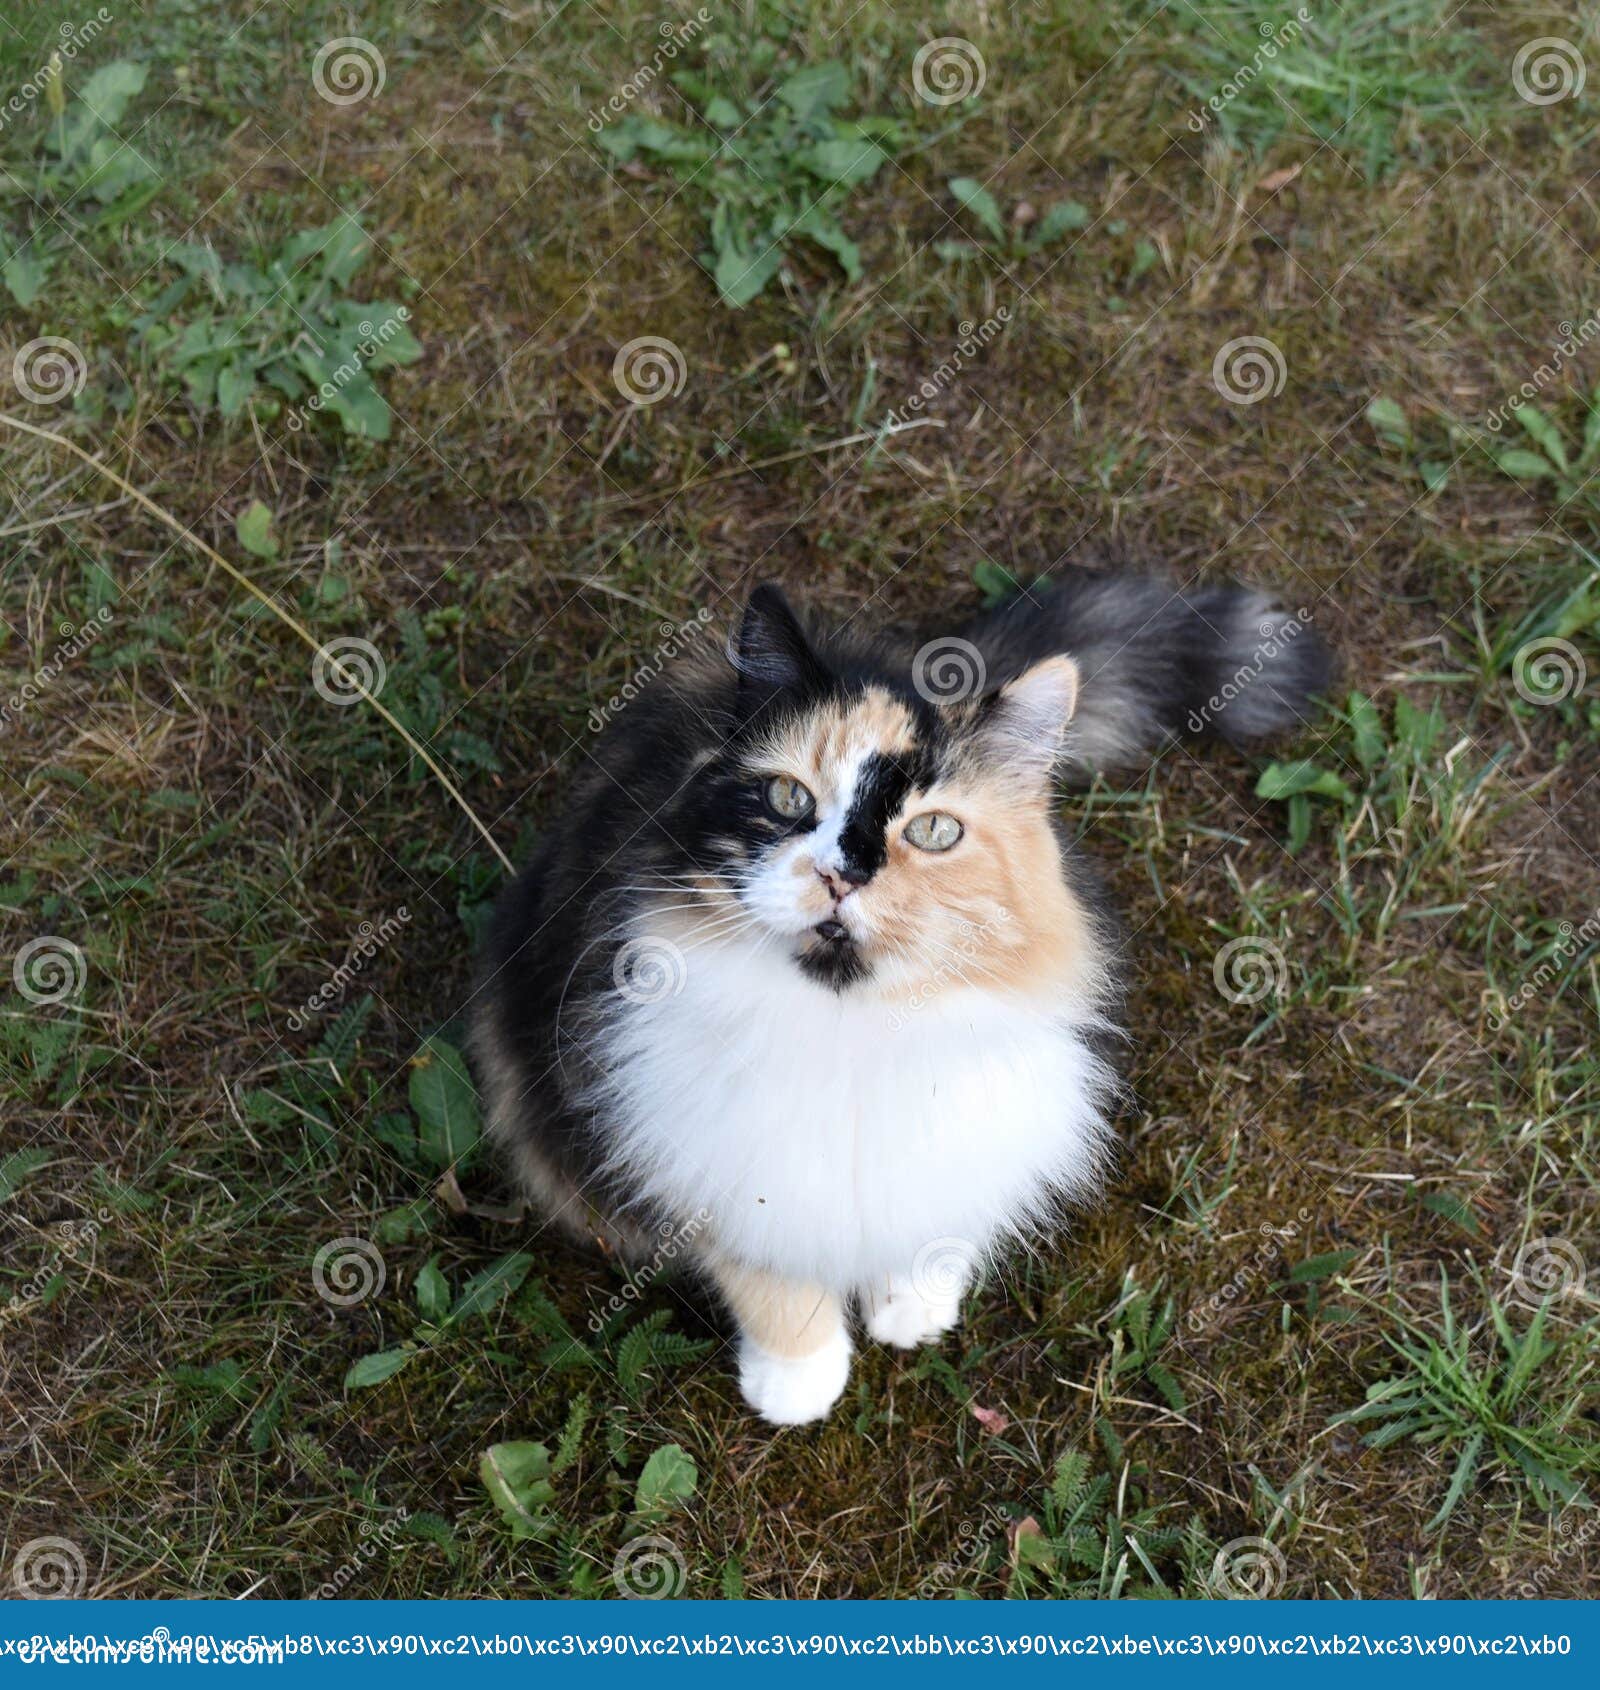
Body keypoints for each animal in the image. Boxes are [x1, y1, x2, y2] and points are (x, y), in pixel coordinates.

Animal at [473, 571, 1324, 1426]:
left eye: (935, 832)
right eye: (788, 798)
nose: (842, 873)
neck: (853, 1027)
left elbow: (935, 1212)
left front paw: (912, 1308)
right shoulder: (699, 1153)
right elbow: (770, 1275)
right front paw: (800, 1381)